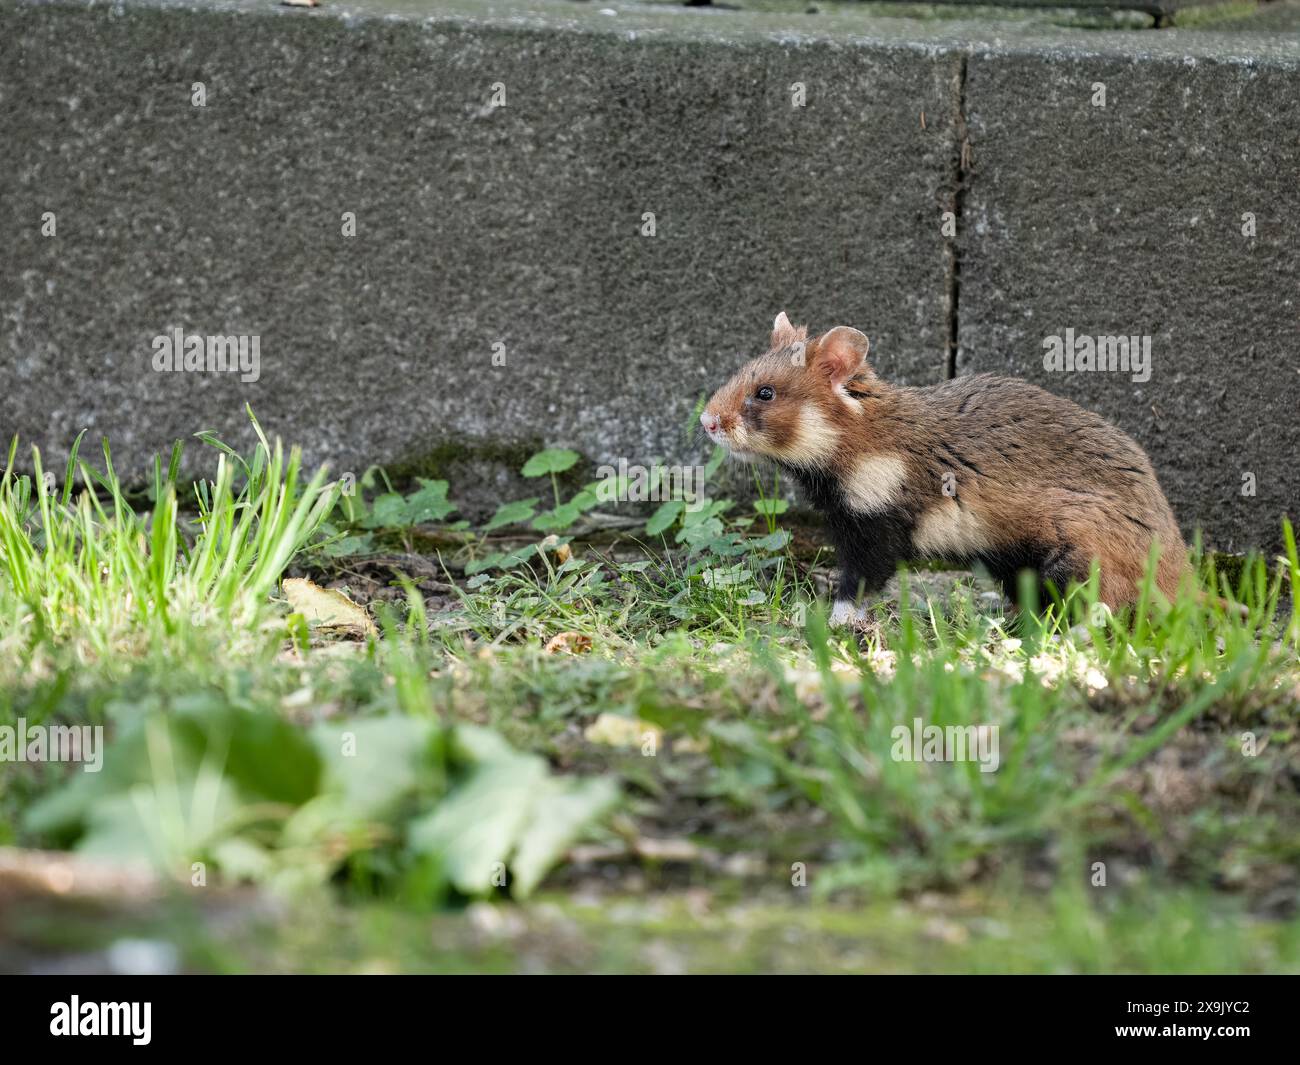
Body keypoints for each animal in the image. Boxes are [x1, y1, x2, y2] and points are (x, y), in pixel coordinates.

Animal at [700, 313, 1189, 624]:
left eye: (765, 392)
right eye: (742, 372)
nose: (707, 421)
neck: (868, 443)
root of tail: (1182, 575)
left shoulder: (878, 529)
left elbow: (858, 585)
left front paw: (834, 624)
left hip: (1077, 556)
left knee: (1104, 612)